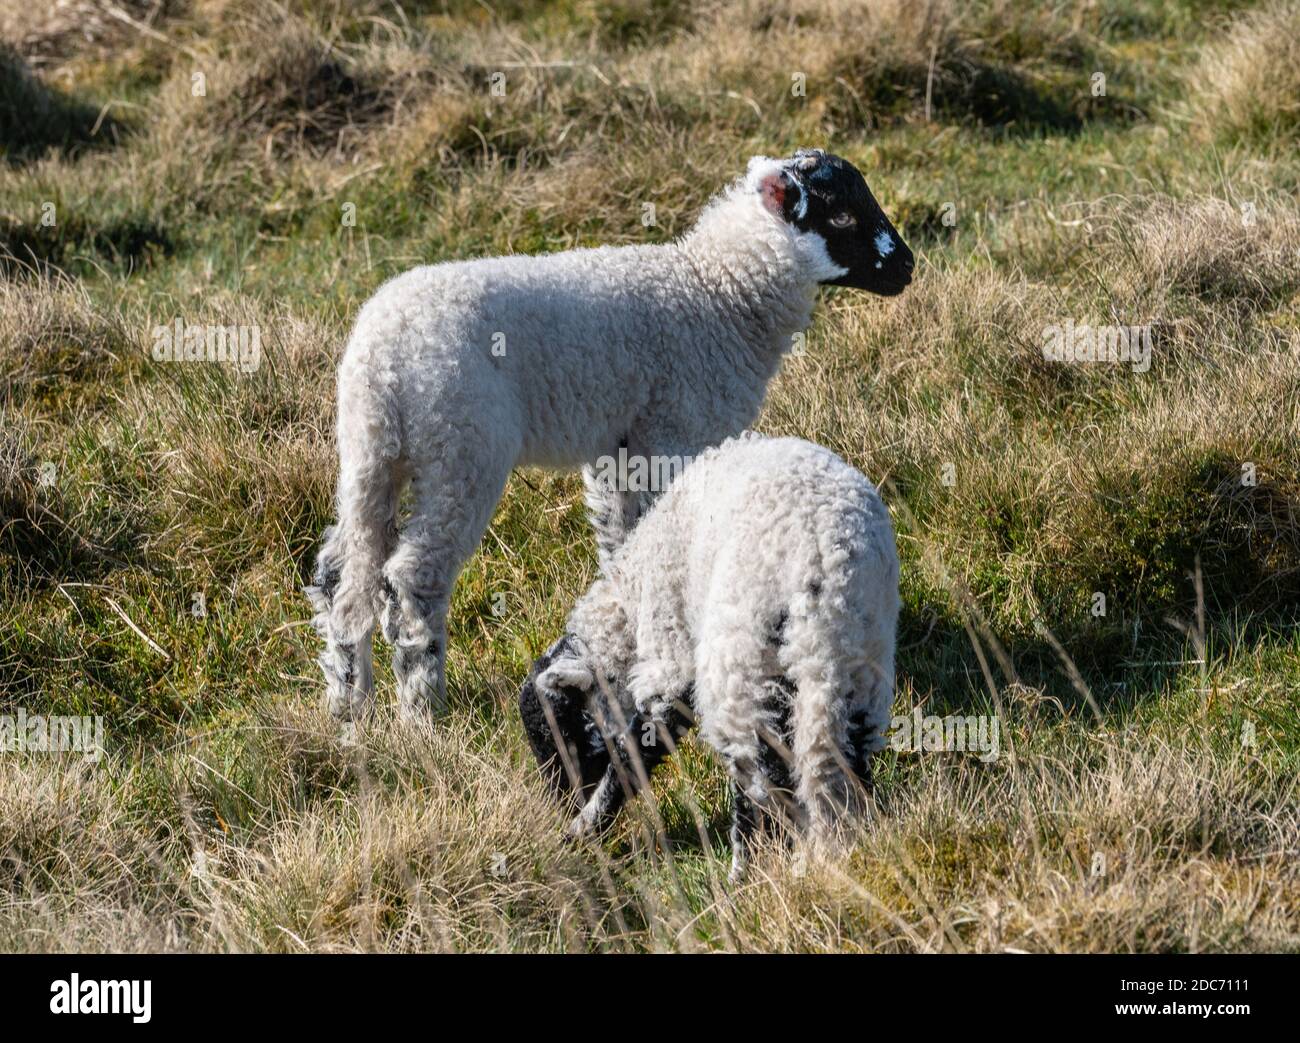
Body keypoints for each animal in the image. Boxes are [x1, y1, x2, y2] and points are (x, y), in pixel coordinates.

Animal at [307, 148, 913, 723]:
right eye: (840, 214)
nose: (907, 266)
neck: (716, 292)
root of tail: (381, 360)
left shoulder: (621, 447)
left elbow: (623, 537)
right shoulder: (674, 429)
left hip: (369, 457)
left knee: (343, 575)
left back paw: (350, 704)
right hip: (461, 448)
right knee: (413, 578)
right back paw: (423, 708)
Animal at [518, 433, 900, 880]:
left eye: (564, 738)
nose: (562, 803)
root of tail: (825, 567)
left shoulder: (671, 653)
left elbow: (638, 749)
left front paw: (584, 828)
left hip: (740, 659)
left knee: (757, 774)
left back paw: (743, 875)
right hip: (859, 665)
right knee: (845, 760)